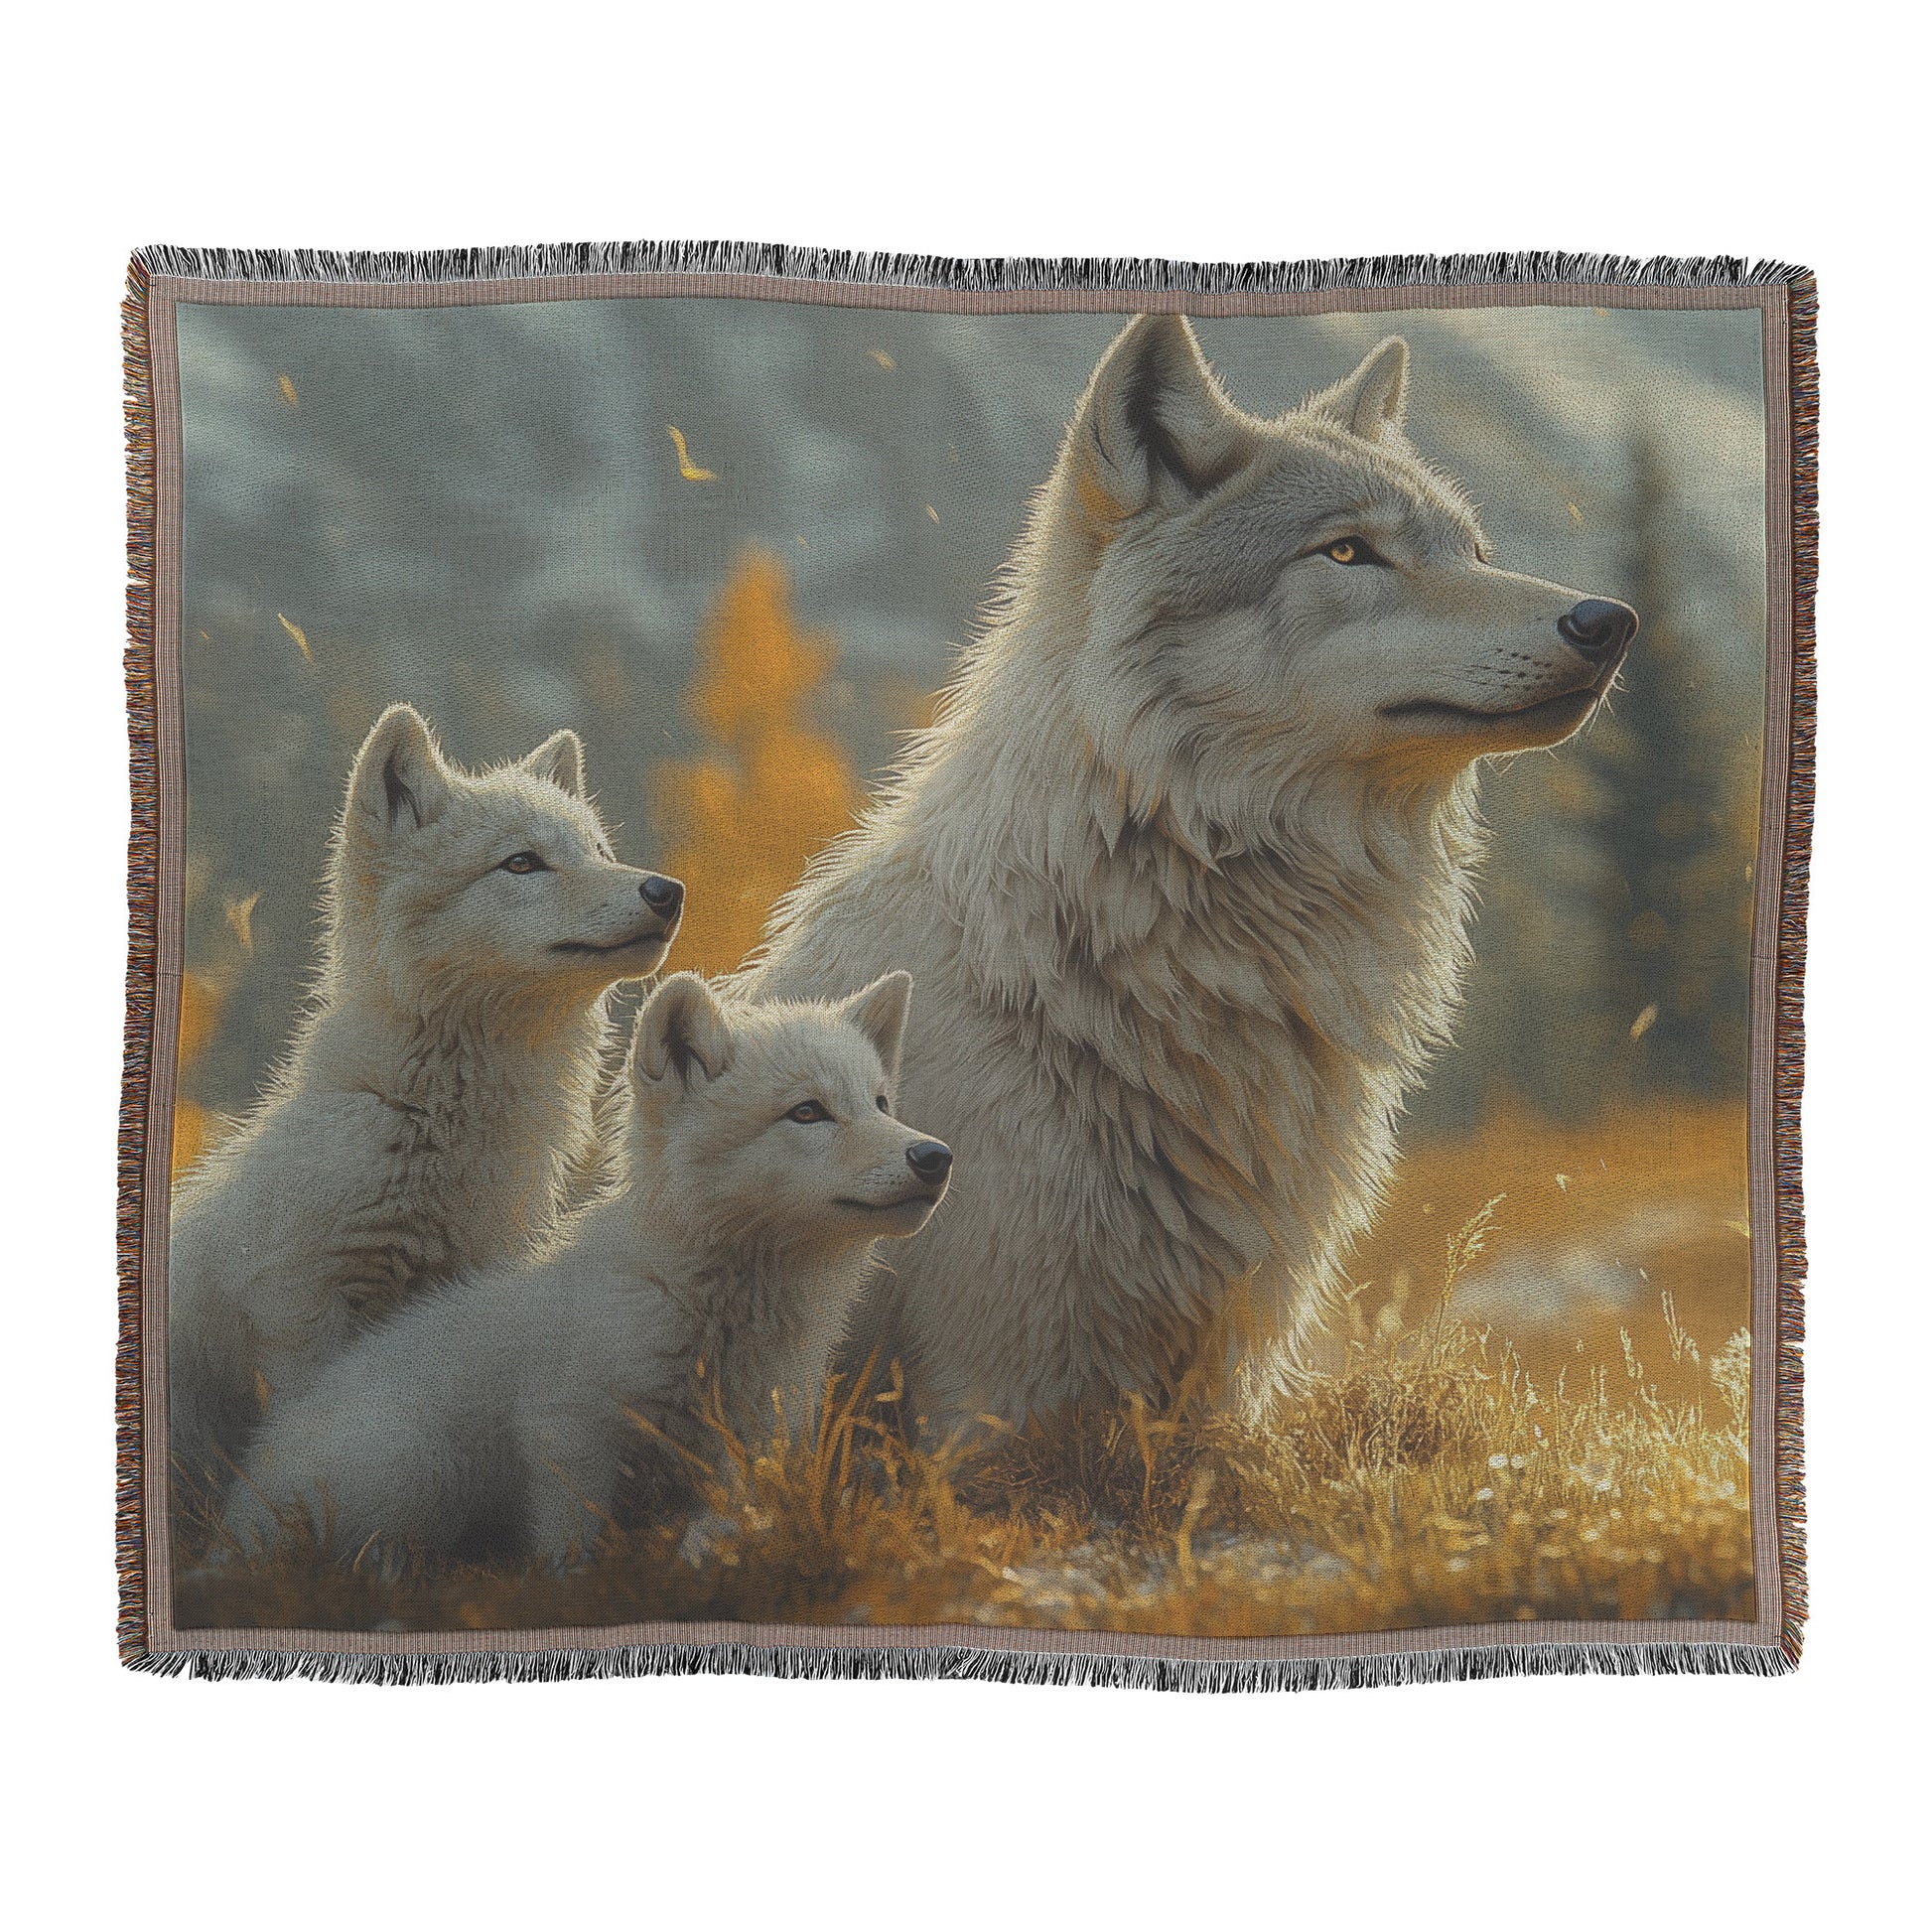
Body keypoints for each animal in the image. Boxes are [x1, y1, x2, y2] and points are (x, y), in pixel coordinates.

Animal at [222, 971, 951, 1565]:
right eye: (807, 1112)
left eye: (880, 1104)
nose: (934, 1156)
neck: (711, 1316)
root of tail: (238, 1512)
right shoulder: (570, 1448)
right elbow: (570, 1560)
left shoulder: (730, 1460)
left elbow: (704, 1545)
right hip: (415, 1465)